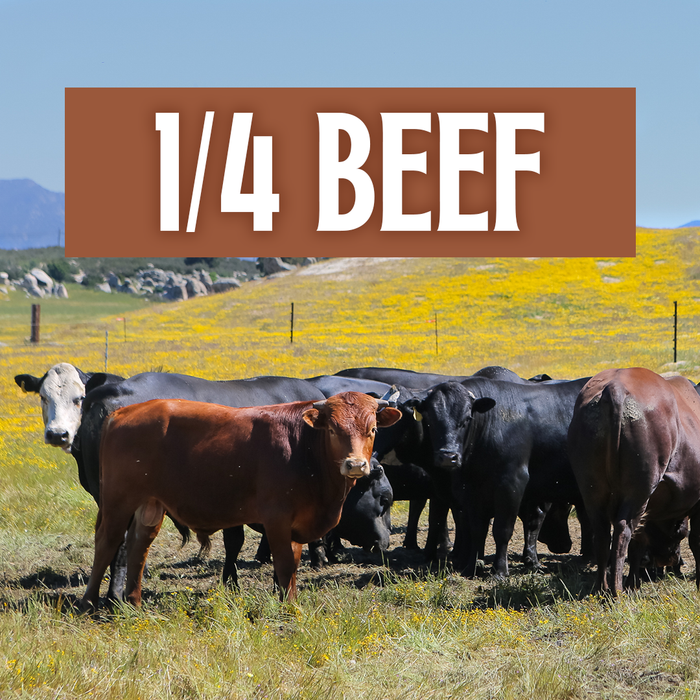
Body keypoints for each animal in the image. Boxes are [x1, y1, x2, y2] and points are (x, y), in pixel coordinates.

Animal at [81, 392, 402, 607]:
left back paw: (134, 603)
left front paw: (290, 600)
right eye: (333, 429)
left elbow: (293, 564)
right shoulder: (276, 519)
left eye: (372, 429)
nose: (356, 464)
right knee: (107, 543)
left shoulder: (296, 523)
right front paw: (288, 608)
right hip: (118, 502)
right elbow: (284, 563)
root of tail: (122, 413)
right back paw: (88, 602)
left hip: (150, 504)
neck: (303, 447)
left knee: (139, 546)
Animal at [568, 368, 700, 595]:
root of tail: (615, 387)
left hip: (593, 491)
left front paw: (634, 582)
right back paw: (616, 591)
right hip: (638, 491)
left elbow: (638, 544)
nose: (666, 559)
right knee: (623, 531)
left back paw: (602, 587)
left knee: (602, 533)